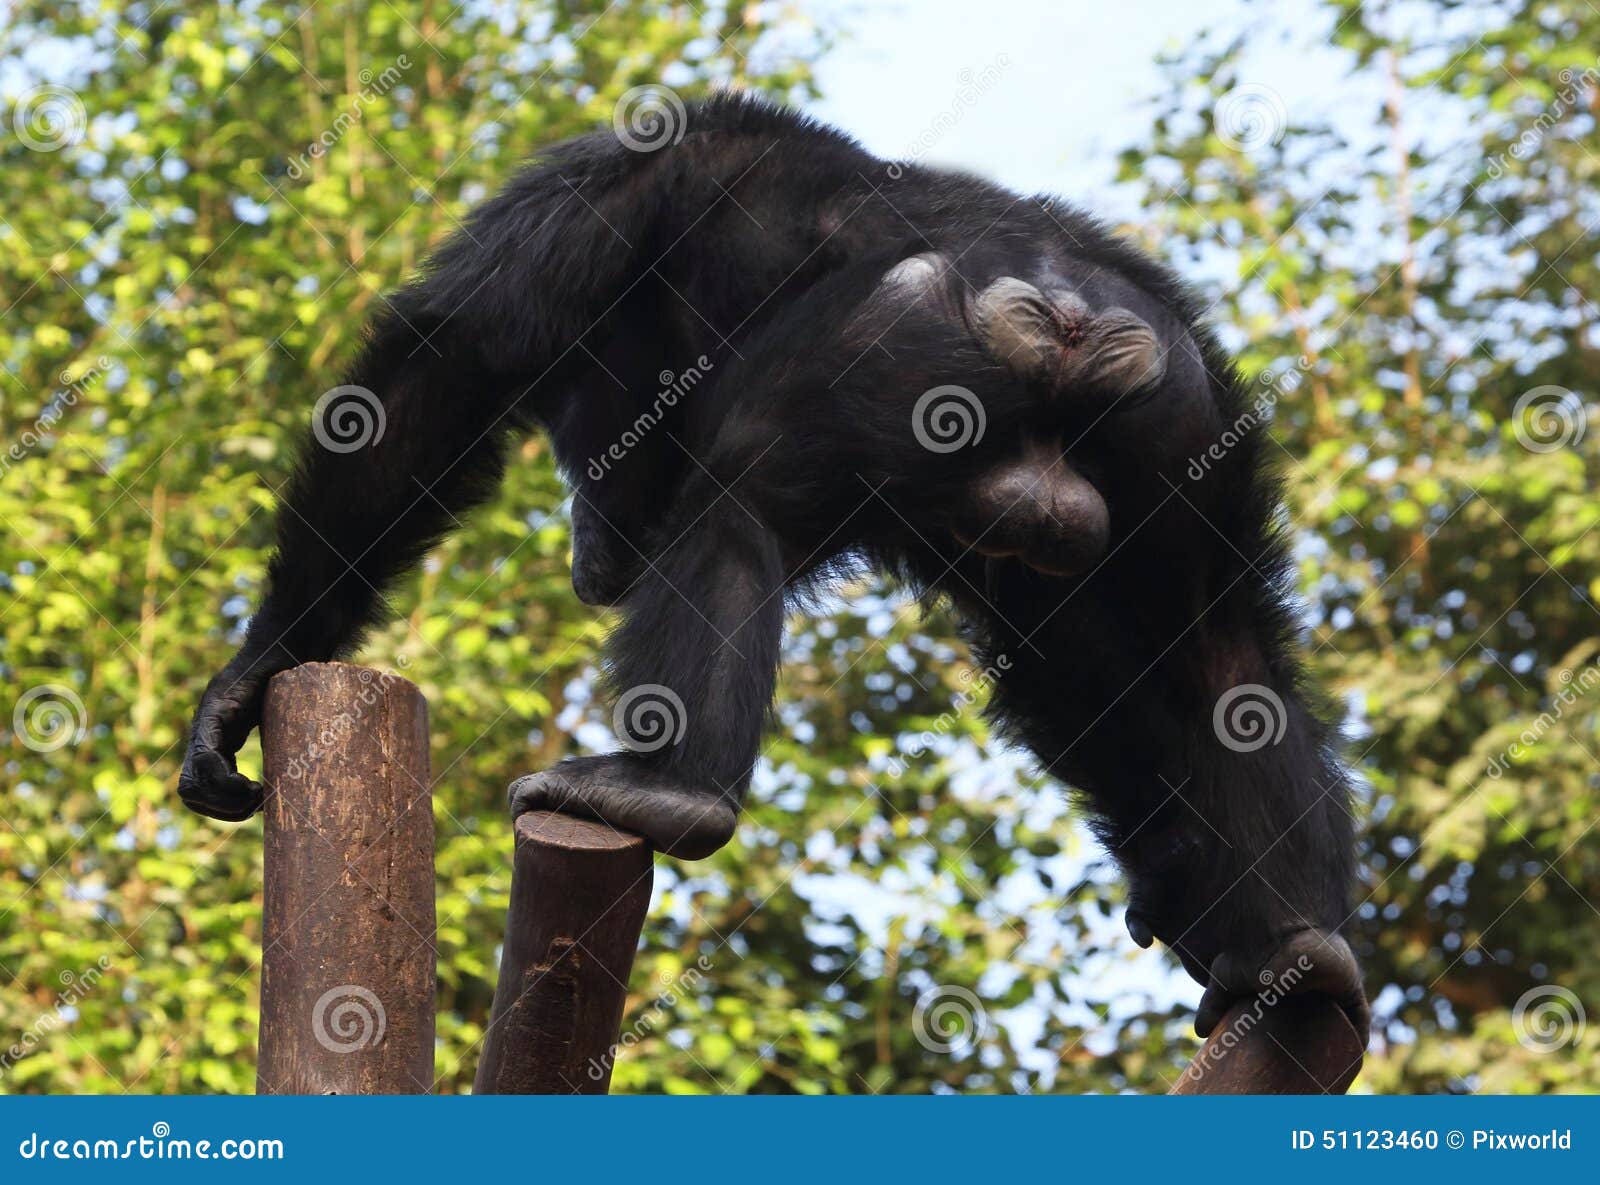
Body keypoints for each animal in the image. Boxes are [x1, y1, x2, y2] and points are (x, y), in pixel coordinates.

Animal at [178, 93, 1367, 1042]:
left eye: (575, 415)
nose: (589, 528)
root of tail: (1070, 321)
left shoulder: (613, 190)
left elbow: (448, 366)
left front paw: (245, 683)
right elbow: (1080, 668)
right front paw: (1179, 889)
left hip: (908, 344)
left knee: (735, 502)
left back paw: (672, 792)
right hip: (1185, 418)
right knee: (1223, 652)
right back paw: (1292, 948)